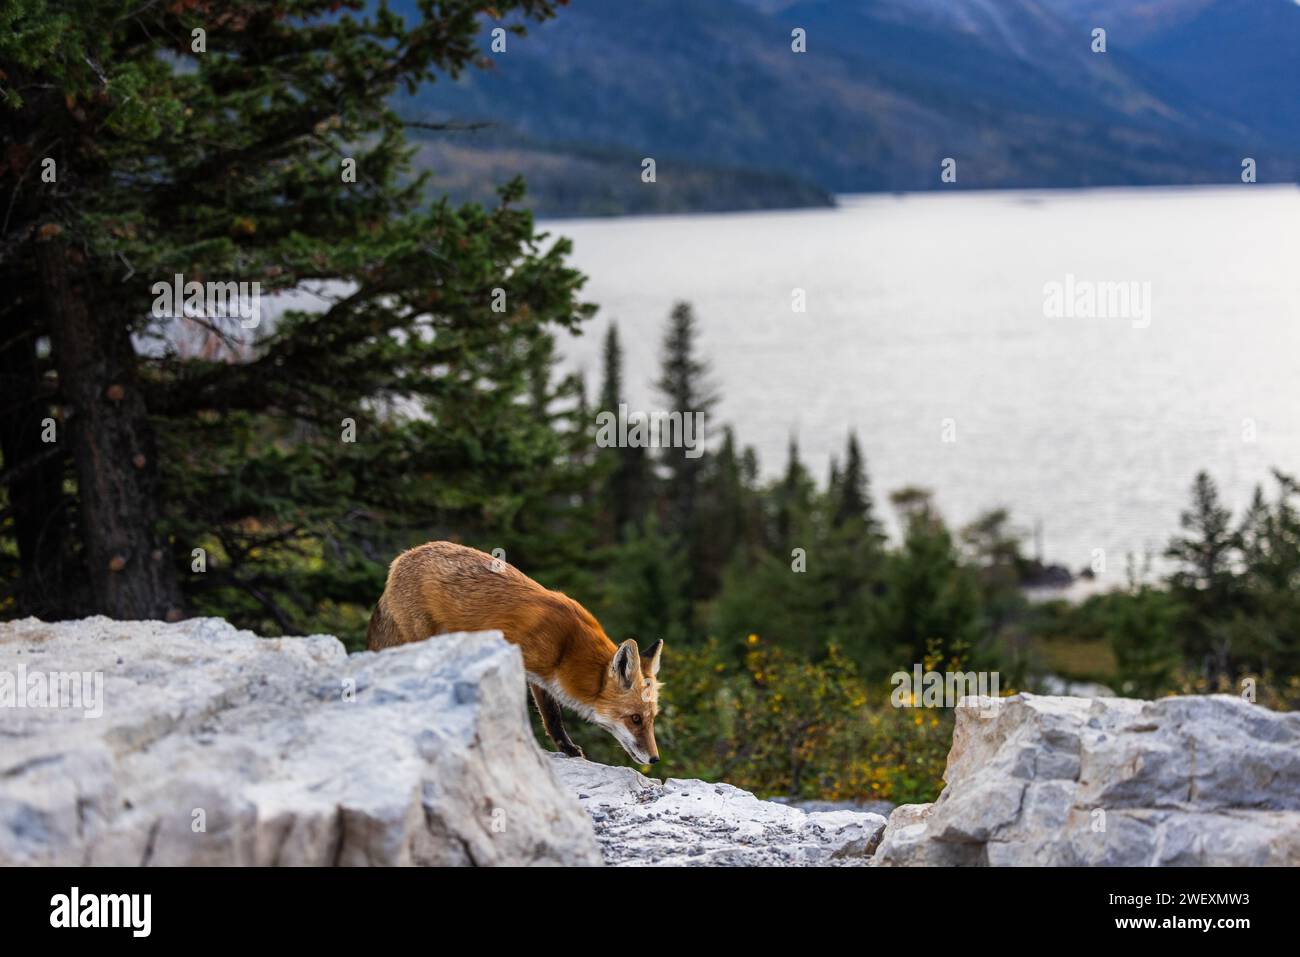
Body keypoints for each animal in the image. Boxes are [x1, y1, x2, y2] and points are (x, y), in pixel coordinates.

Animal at [367, 541, 662, 765]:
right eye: (635, 719)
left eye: (651, 719)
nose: (655, 759)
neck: (567, 647)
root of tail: (402, 557)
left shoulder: (541, 678)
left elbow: (552, 718)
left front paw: (567, 749)